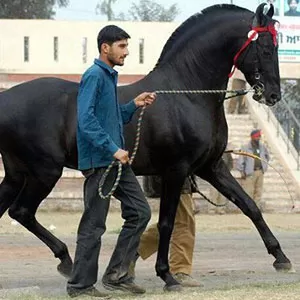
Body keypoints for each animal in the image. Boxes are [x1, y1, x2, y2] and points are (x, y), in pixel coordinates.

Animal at [0, 3, 292, 292]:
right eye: (266, 49)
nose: (273, 95)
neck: (188, 93)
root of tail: (5, 99)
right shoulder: (176, 170)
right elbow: (166, 223)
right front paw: (167, 276)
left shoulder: (212, 167)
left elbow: (249, 205)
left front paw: (281, 257)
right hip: (44, 172)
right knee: (21, 211)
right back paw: (67, 260)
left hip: (16, 175)